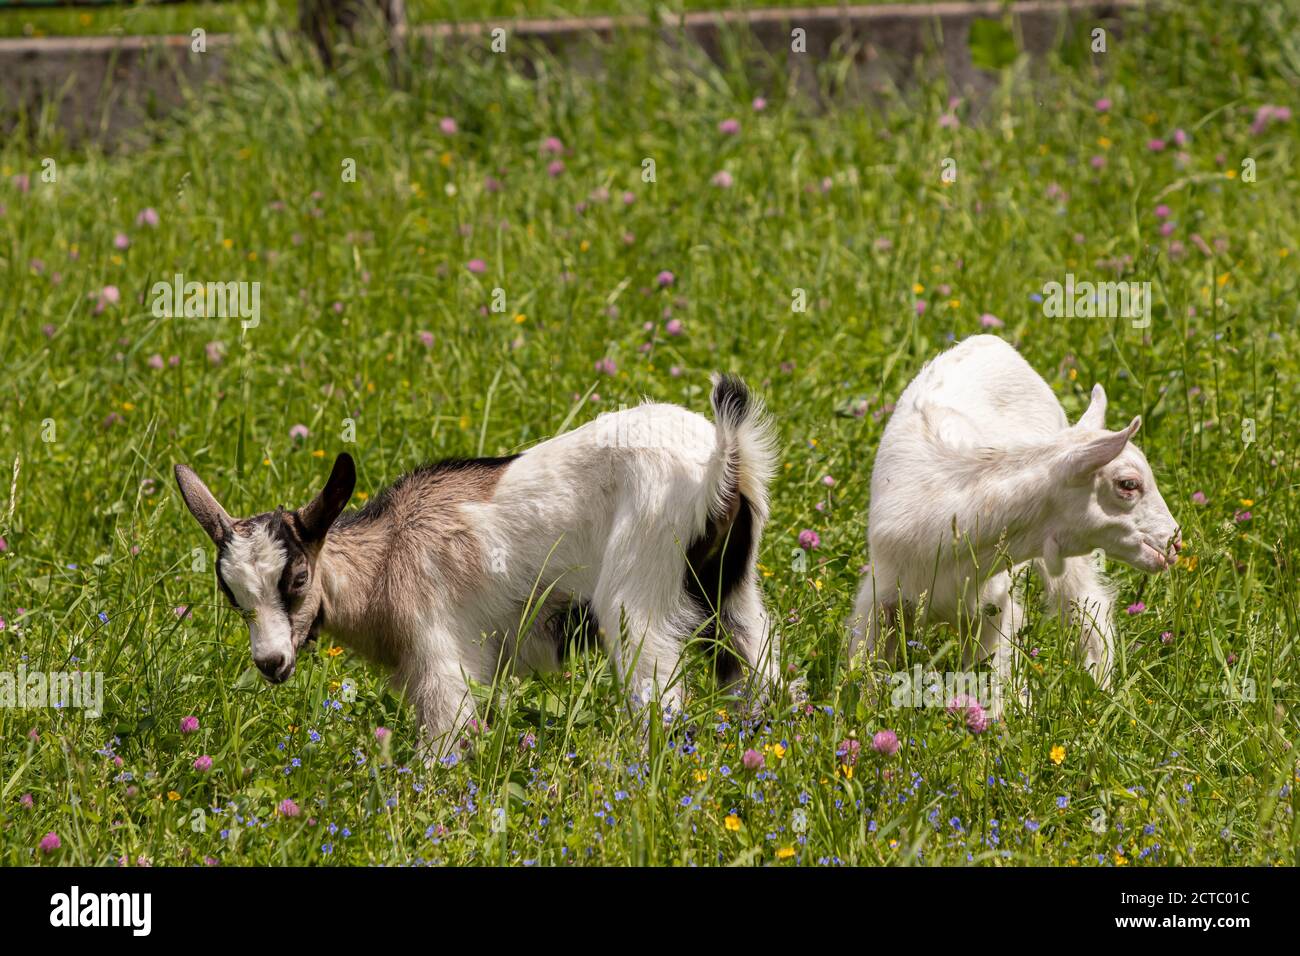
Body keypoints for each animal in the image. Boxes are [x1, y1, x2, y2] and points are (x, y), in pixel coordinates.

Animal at [176, 375, 779, 752]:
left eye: (298, 578)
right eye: (231, 593)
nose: (270, 662)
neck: (386, 558)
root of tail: (718, 464)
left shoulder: (444, 661)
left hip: (638, 592)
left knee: (657, 692)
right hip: (731, 588)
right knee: (755, 665)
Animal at [848, 335, 1181, 714]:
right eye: (1128, 484)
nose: (1174, 542)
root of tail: (990, 341)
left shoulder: (995, 606)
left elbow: (993, 678)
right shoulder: (878, 598)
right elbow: (866, 673)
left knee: (1087, 604)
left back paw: (1100, 690)